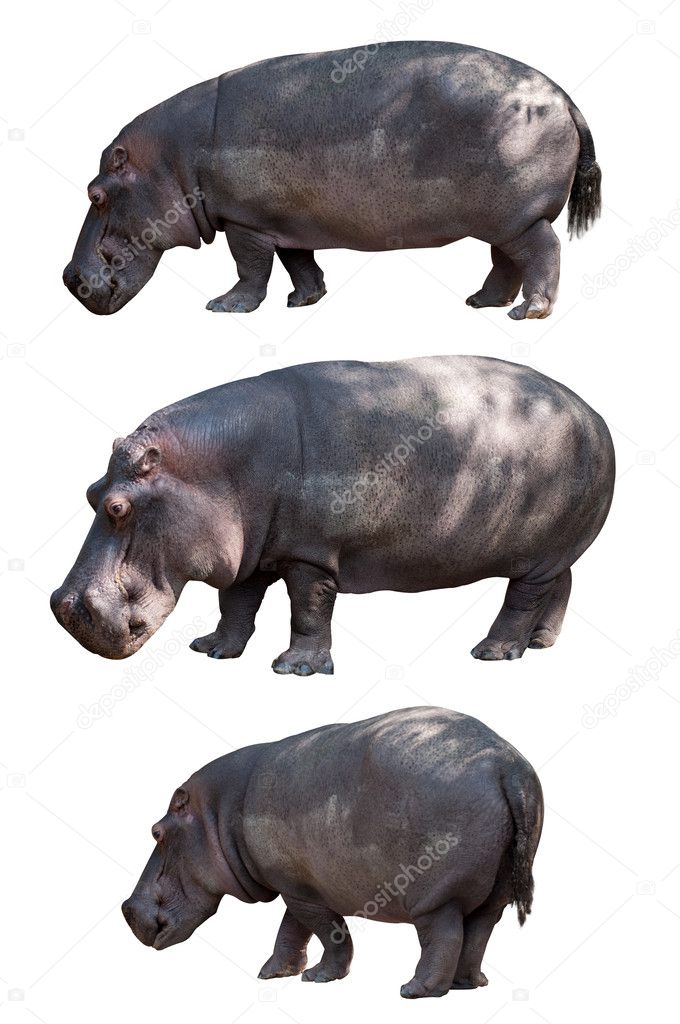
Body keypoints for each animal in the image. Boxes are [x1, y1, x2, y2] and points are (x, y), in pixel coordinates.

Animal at [50, 355, 615, 672]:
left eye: (119, 507)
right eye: (90, 492)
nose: (64, 607)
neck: (215, 467)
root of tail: (593, 414)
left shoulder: (310, 555)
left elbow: (307, 608)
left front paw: (294, 669)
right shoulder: (251, 552)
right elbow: (235, 603)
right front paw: (211, 651)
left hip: (537, 552)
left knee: (522, 598)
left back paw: (493, 653)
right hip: (553, 550)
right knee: (562, 584)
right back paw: (542, 642)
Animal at [63, 41, 601, 320]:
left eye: (95, 194)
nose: (70, 278)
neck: (172, 158)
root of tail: (563, 96)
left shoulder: (243, 220)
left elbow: (249, 267)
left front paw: (223, 307)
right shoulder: (283, 219)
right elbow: (297, 261)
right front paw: (304, 301)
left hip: (518, 217)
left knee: (543, 252)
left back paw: (528, 312)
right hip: (501, 219)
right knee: (507, 260)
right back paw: (480, 303)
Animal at [122, 706, 544, 998]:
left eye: (156, 832)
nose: (126, 909)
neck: (217, 811)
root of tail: (507, 766)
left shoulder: (299, 890)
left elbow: (328, 931)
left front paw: (318, 978)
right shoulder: (298, 885)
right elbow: (293, 928)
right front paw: (273, 973)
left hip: (435, 897)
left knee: (444, 936)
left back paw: (415, 990)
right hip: (495, 890)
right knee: (479, 931)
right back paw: (468, 984)